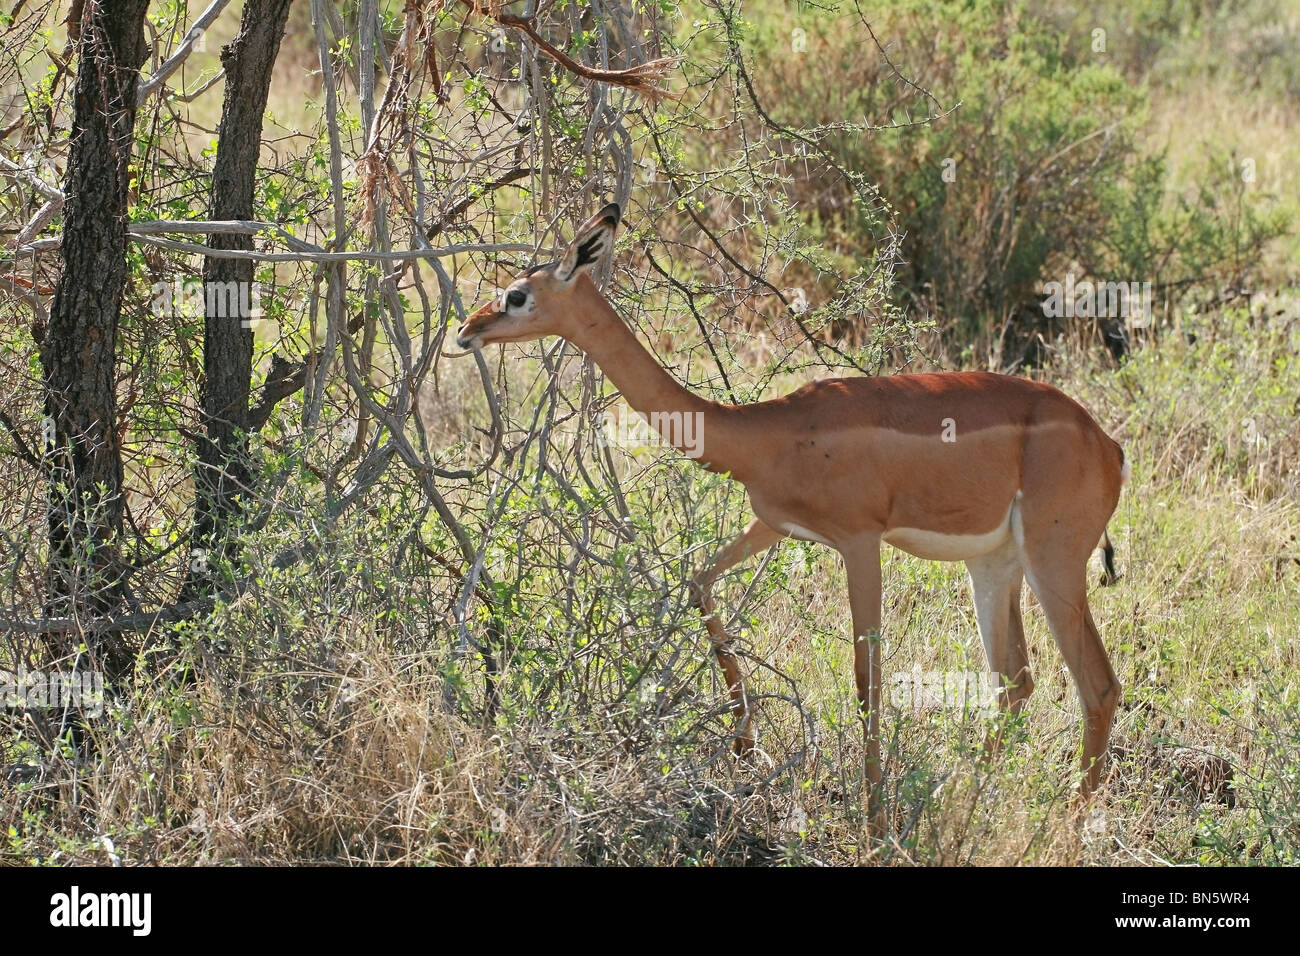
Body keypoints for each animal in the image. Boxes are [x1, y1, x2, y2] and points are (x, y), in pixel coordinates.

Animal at [456, 203, 1129, 831]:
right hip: (992, 565)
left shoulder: (860, 541)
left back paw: (1063, 827)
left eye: (517, 294)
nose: (466, 329)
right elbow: (699, 580)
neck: (770, 433)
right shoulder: (773, 524)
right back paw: (957, 807)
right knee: (1015, 681)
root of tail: (1107, 445)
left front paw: (872, 826)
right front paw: (744, 743)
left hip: (1053, 561)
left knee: (1097, 685)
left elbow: (867, 682)